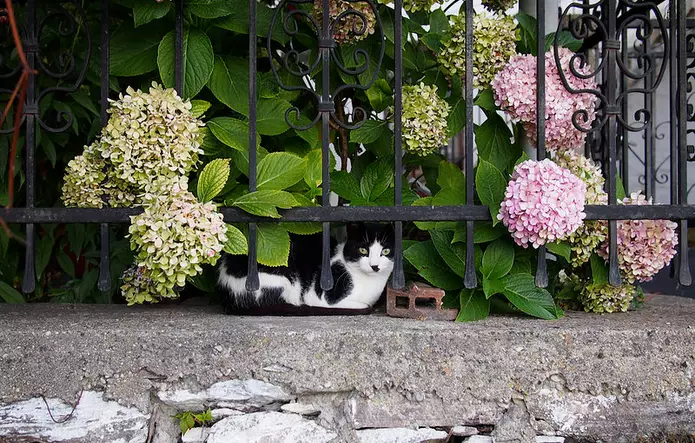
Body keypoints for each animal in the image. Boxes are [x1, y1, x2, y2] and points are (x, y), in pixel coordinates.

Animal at [218, 224, 394, 314]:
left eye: (385, 251)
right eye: (363, 250)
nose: (375, 266)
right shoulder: (320, 296)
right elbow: (364, 305)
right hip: (282, 280)